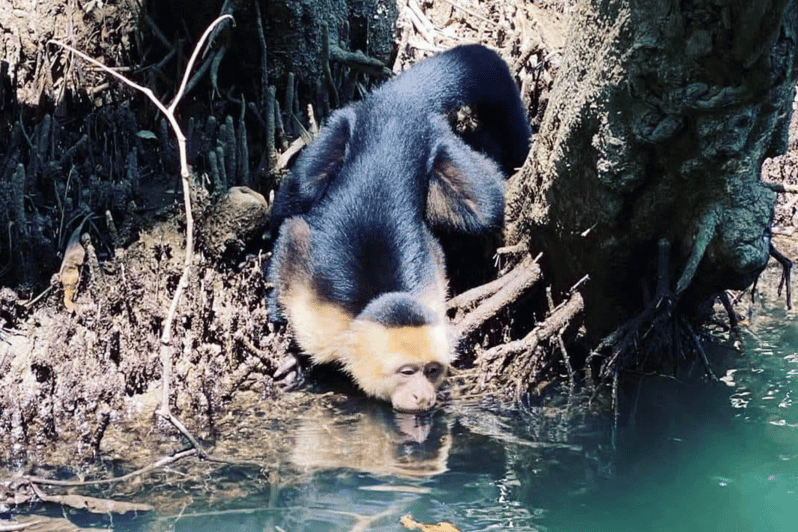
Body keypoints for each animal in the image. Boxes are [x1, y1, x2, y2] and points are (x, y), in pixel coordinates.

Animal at [268, 44, 531, 412]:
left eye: (432, 370)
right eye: (407, 372)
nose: (424, 396)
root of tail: (397, 104)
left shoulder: (430, 296)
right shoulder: (317, 318)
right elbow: (295, 235)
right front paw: (297, 359)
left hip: (436, 138)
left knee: (484, 207)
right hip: (346, 123)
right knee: (300, 192)